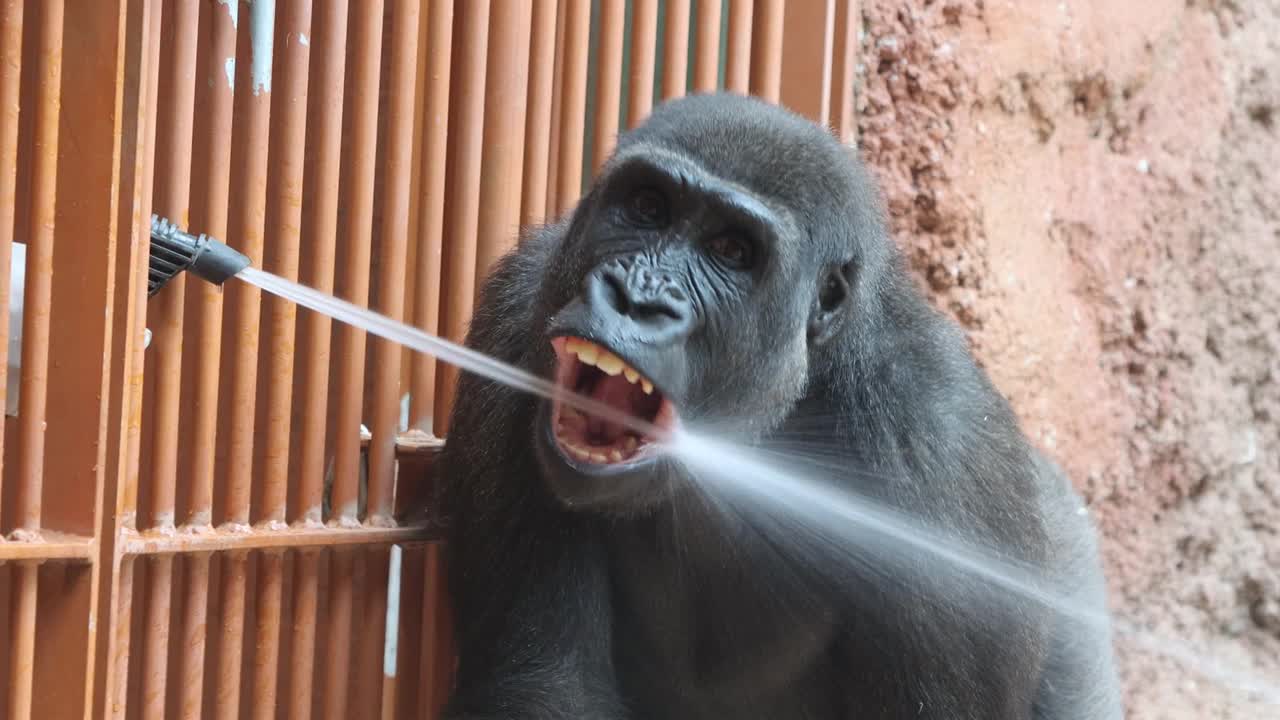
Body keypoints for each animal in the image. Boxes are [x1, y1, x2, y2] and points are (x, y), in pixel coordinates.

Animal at [432, 92, 1123, 719]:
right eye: (647, 207)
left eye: (733, 252)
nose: (635, 299)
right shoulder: (517, 309)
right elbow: (549, 683)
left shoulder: (944, 450)